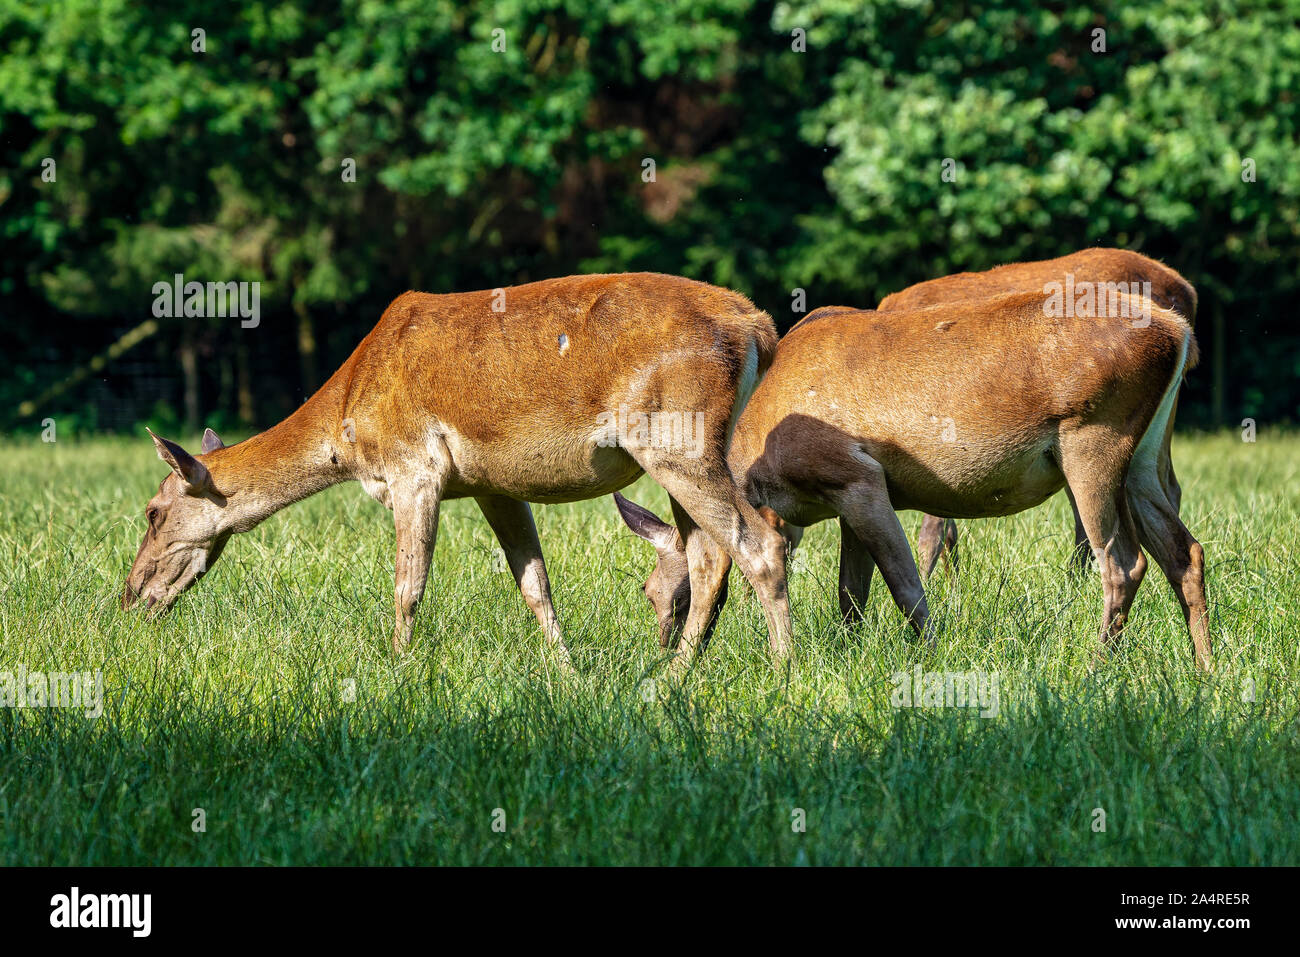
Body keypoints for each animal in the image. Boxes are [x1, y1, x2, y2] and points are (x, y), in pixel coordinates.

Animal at [122, 273, 793, 669]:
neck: (348, 426)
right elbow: (534, 583)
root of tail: (758, 327)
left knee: (758, 544)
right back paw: (676, 674)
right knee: (709, 557)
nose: (128, 597)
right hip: (692, 448)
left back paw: (781, 669)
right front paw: (566, 671)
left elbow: (408, 583)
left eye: (153, 512)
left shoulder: (412, 465)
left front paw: (396, 668)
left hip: (676, 436)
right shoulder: (493, 485)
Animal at [616, 289, 1212, 672]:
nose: (664, 653)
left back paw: (1095, 667)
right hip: (1145, 457)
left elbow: (905, 587)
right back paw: (1204, 669)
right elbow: (850, 597)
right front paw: (850, 658)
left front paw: (931, 656)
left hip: (1092, 441)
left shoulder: (855, 475)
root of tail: (1179, 332)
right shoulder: (843, 501)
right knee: (1184, 550)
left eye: (665, 593)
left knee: (1123, 562)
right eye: (647, 593)